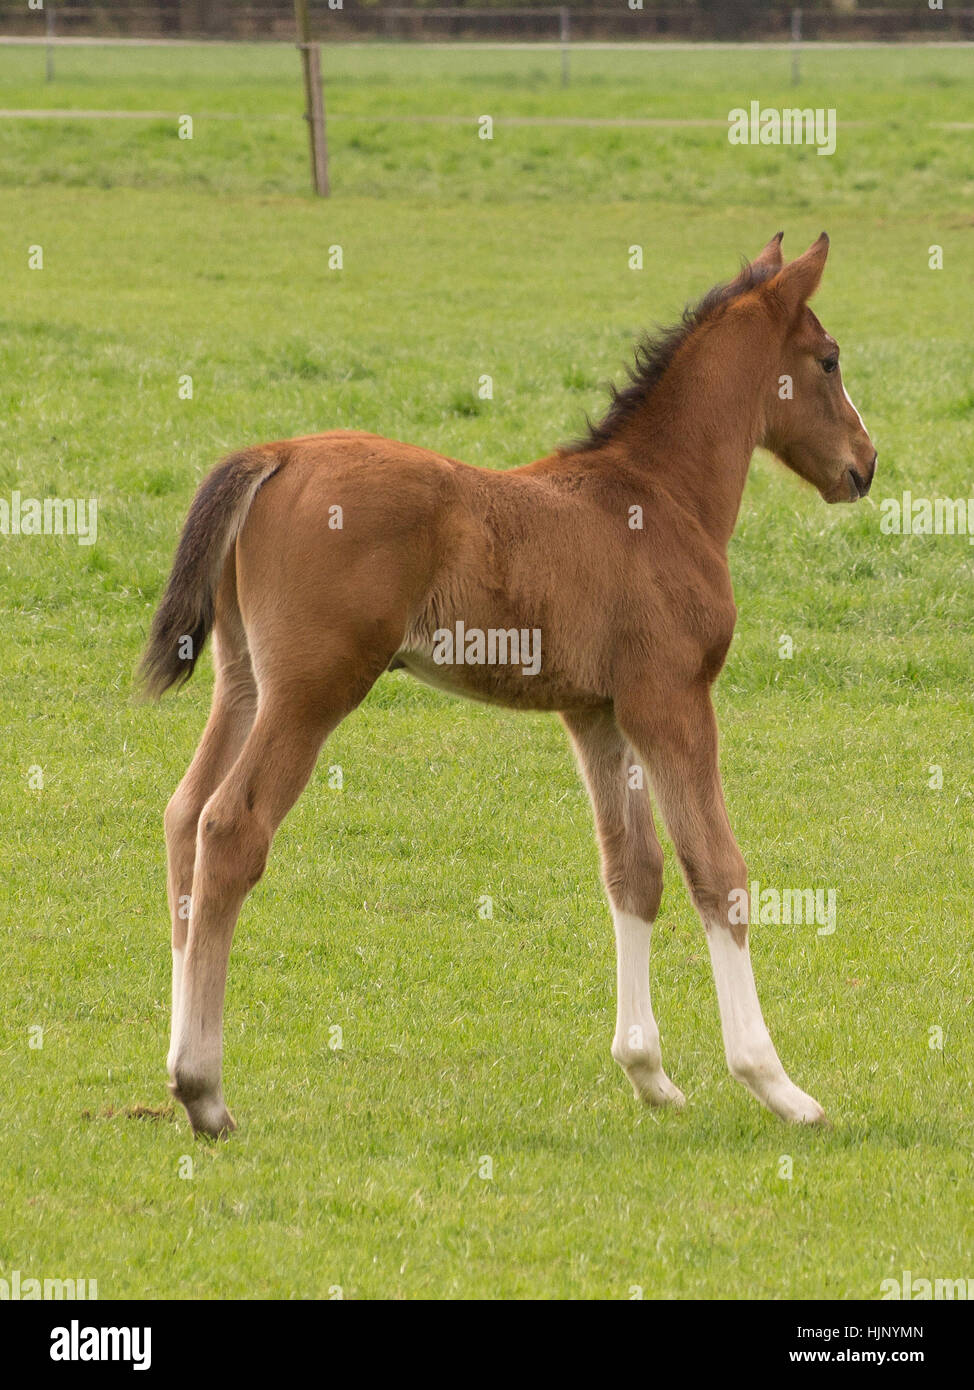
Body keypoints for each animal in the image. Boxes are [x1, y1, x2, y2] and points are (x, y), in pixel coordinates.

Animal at [141, 231, 876, 1138]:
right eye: (829, 360)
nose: (866, 465)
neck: (657, 497)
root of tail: (276, 455)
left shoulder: (597, 713)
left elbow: (633, 870)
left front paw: (649, 1073)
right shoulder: (671, 699)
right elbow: (717, 869)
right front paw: (776, 1084)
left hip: (245, 685)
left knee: (183, 815)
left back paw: (180, 1066)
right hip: (311, 692)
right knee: (229, 827)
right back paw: (204, 1090)